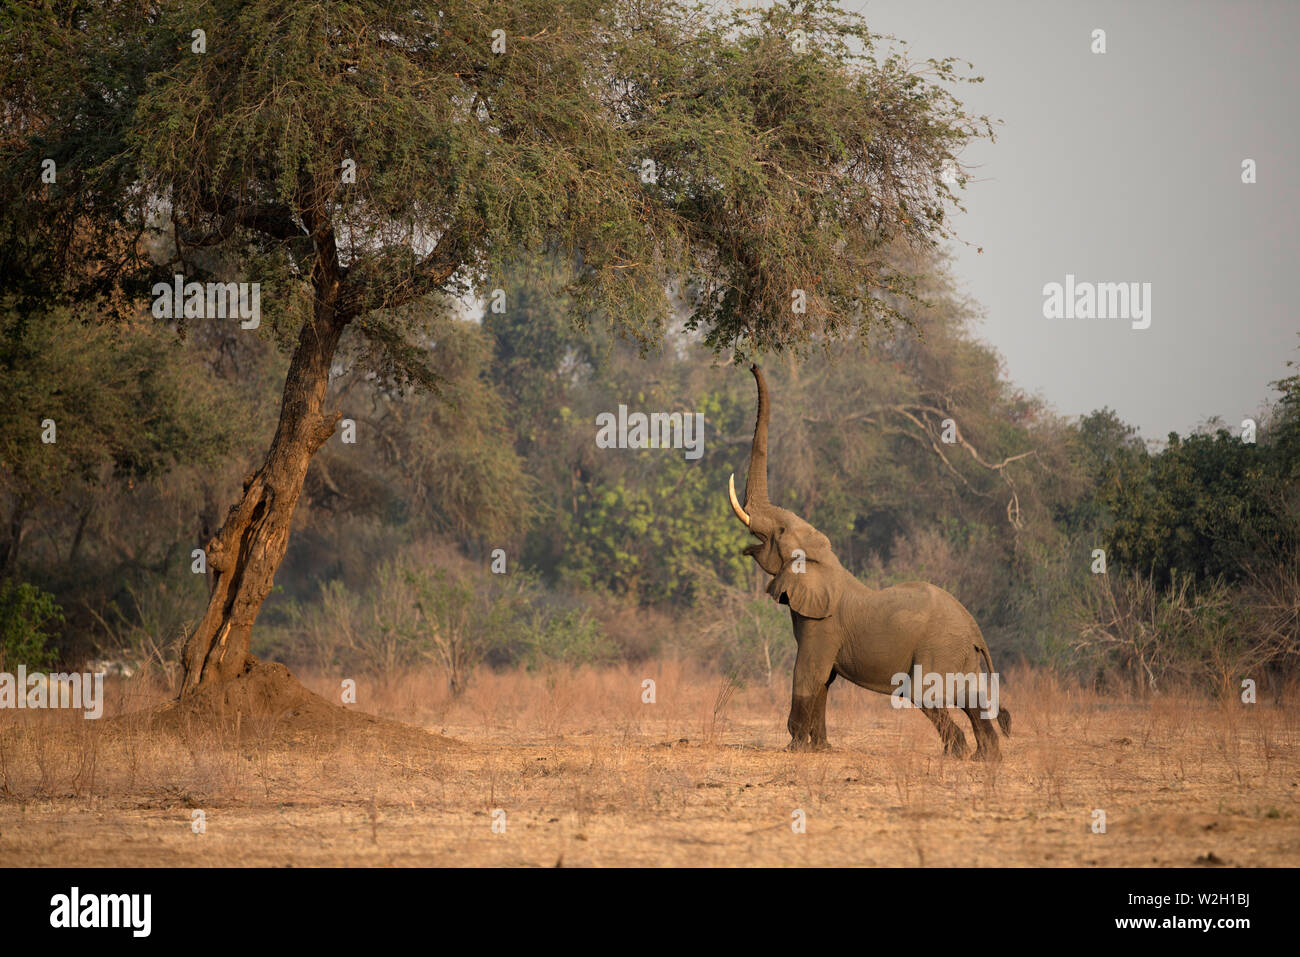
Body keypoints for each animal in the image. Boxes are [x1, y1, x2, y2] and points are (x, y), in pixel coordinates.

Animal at [727, 364, 1011, 759]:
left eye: (780, 531)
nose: (752, 365)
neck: (825, 562)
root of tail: (975, 630)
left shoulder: (823, 625)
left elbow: (809, 675)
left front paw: (795, 748)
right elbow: (825, 681)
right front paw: (822, 748)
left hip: (939, 647)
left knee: (926, 695)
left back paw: (955, 754)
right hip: (959, 652)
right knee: (970, 699)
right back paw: (985, 758)